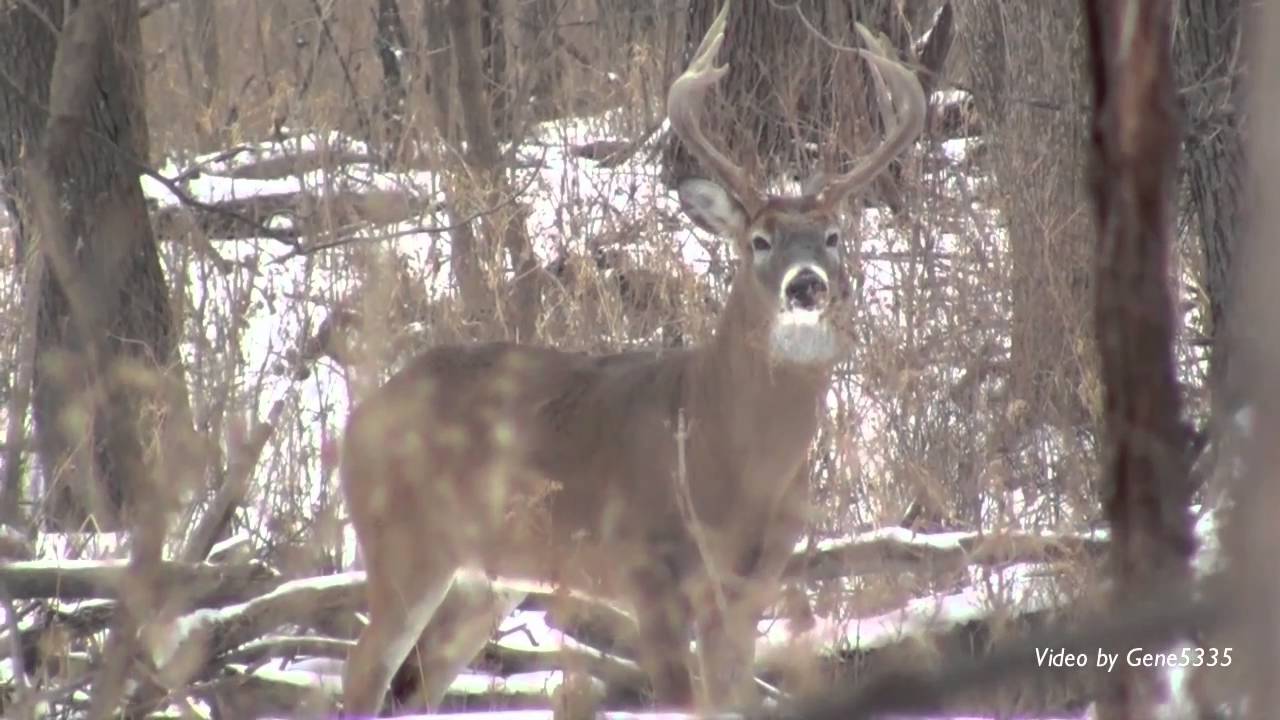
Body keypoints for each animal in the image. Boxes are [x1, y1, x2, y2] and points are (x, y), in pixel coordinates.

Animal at [339, 0, 926, 714]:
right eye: (759, 240)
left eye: (834, 236)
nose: (807, 284)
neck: (726, 453)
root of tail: (358, 417)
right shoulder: (646, 565)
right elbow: (680, 697)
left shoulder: (754, 581)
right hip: (403, 542)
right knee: (362, 673)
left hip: (489, 576)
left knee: (416, 685)